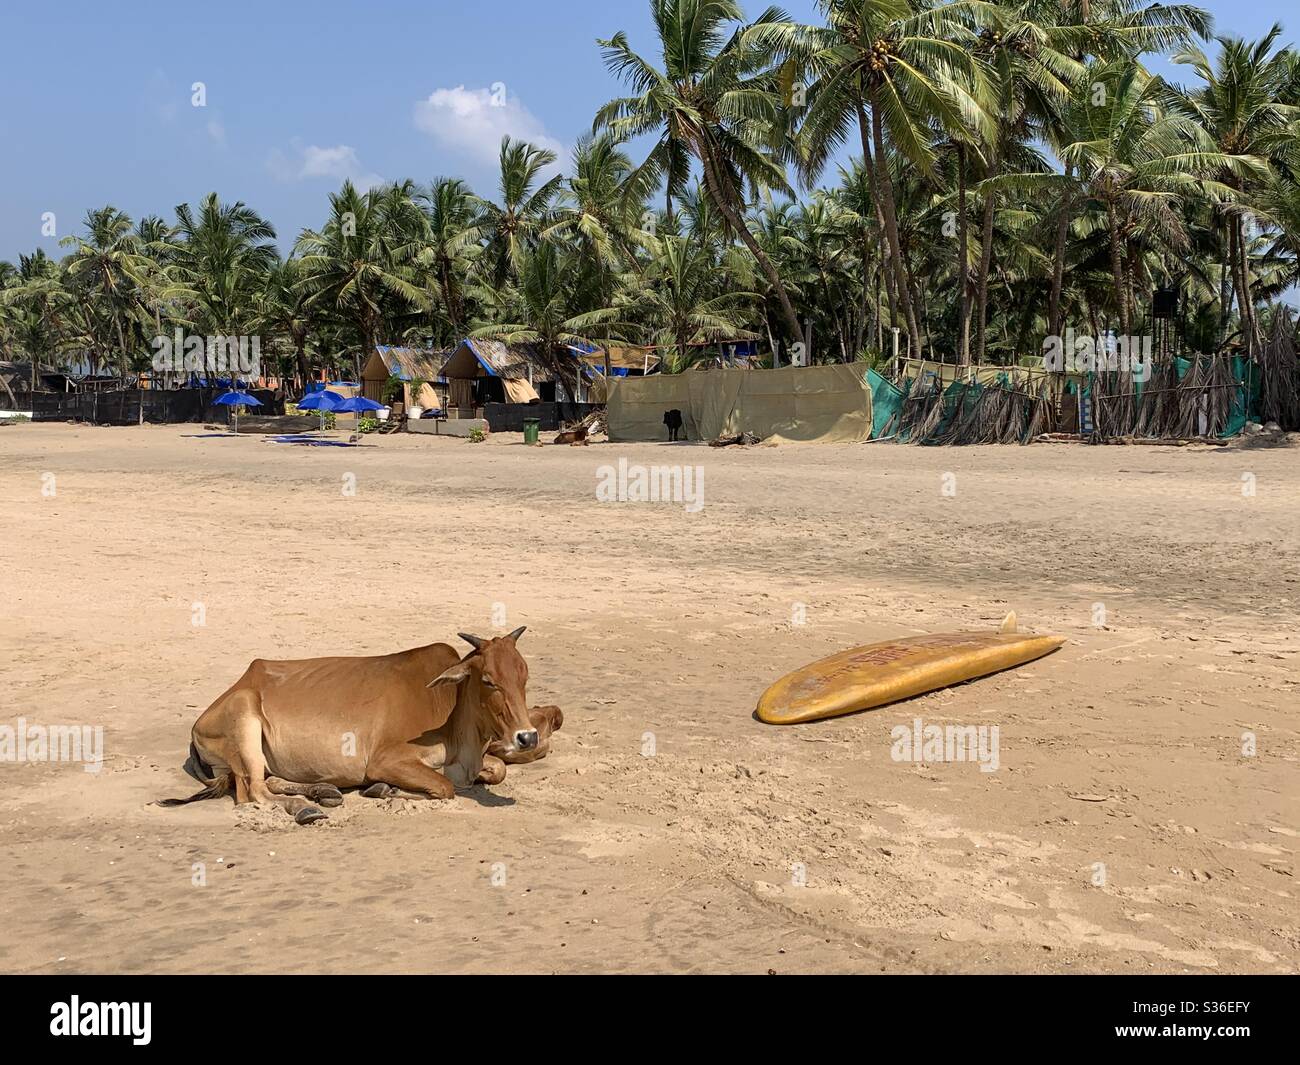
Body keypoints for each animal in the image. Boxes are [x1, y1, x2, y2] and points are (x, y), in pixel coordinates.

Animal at [157, 627, 561, 824]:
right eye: (489, 680)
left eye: (523, 676)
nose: (527, 736)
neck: (452, 705)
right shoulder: (385, 759)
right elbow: (444, 787)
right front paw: (386, 791)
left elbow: (496, 771)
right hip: (244, 724)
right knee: (253, 791)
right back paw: (304, 808)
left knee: (268, 782)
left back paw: (322, 792)